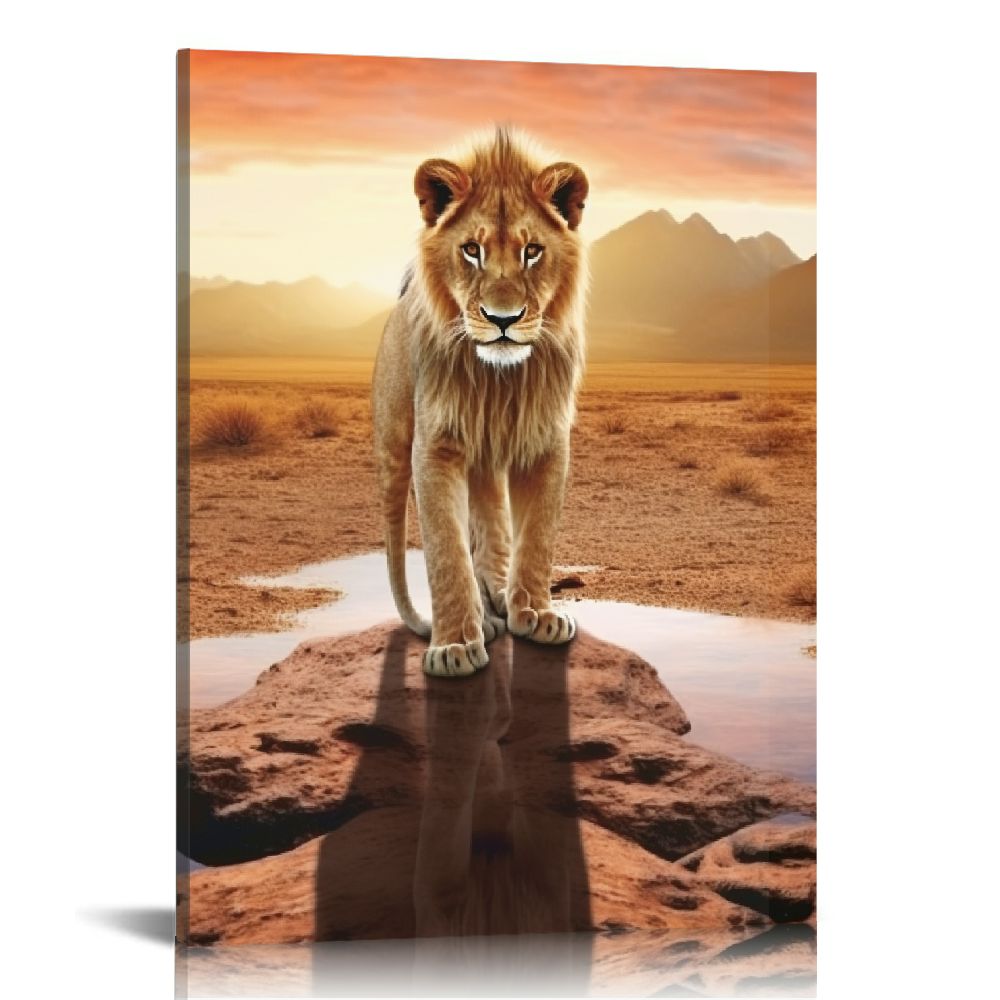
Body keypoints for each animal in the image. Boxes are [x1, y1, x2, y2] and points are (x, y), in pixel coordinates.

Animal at [372, 126, 589, 677]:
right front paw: (453, 646)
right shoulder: (436, 445)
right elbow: (445, 550)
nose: (503, 319)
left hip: (484, 461)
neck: (499, 379)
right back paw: (446, 622)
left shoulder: (547, 440)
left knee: (491, 526)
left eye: (532, 251)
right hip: (393, 449)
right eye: (472, 250)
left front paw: (535, 614)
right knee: (396, 544)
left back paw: (497, 604)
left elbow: (536, 535)